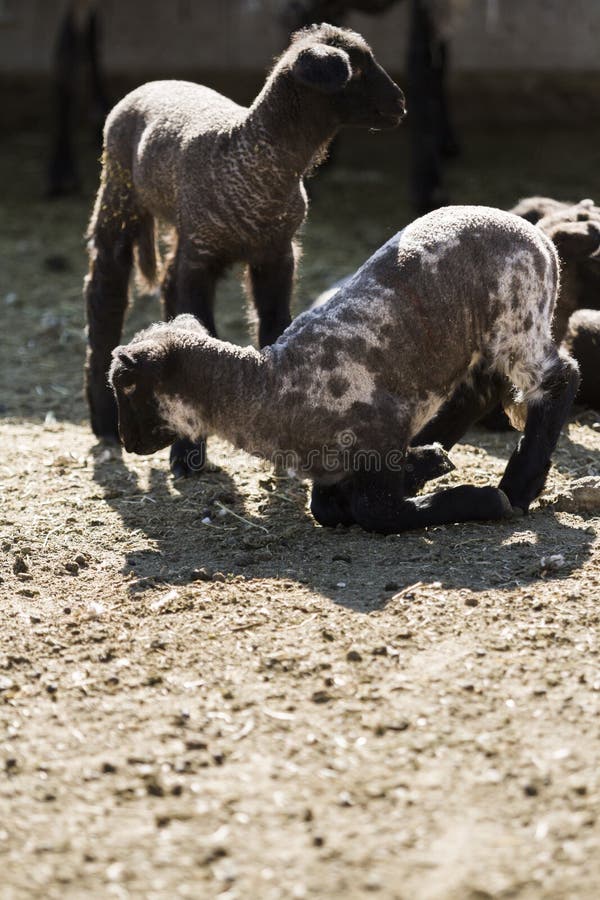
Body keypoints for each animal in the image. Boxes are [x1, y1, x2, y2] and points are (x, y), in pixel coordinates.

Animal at [84, 23, 406, 478]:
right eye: (356, 69)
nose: (401, 104)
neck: (251, 154)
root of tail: (157, 81)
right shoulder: (202, 260)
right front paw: (187, 454)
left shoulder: (275, 254)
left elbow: (273, 324)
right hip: (119, 189)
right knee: (106, 290)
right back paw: (101, 418)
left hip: (183, 227)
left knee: (164, 284)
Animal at [109, 205, 579, 534]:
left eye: (126, 387)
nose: (126, 443)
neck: (269, 386)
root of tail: (543, 242)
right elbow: (327, 508)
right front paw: (426, 462)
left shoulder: (380, 434)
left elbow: (377, 513)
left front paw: (478, 498)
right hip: (482, 340)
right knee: (478, 392)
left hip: (518, 317)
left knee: (560, 379)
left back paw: (517, 487)